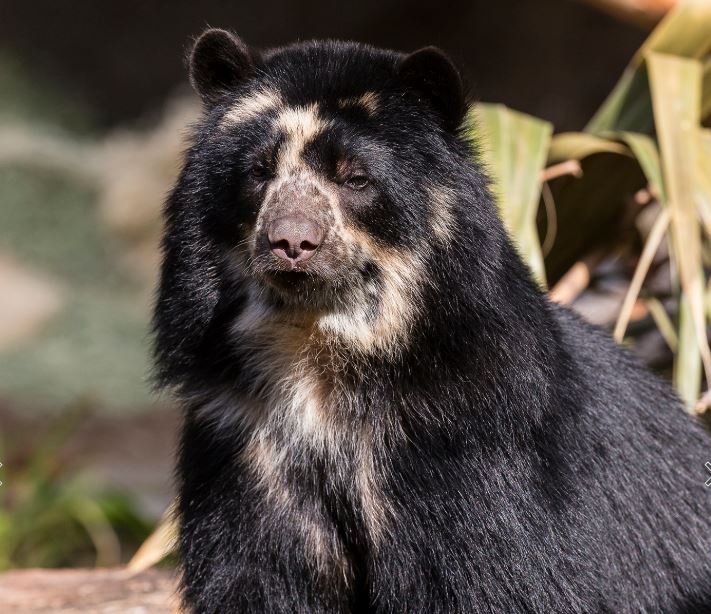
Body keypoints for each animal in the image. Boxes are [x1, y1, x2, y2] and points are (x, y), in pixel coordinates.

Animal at [153, 28, 711, 613]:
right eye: (259, 170)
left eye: (355, 178)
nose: (291, 241)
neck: (318, 355)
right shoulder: (242, 448)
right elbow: (257, 581)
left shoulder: (462, 449)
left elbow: (493, 579)